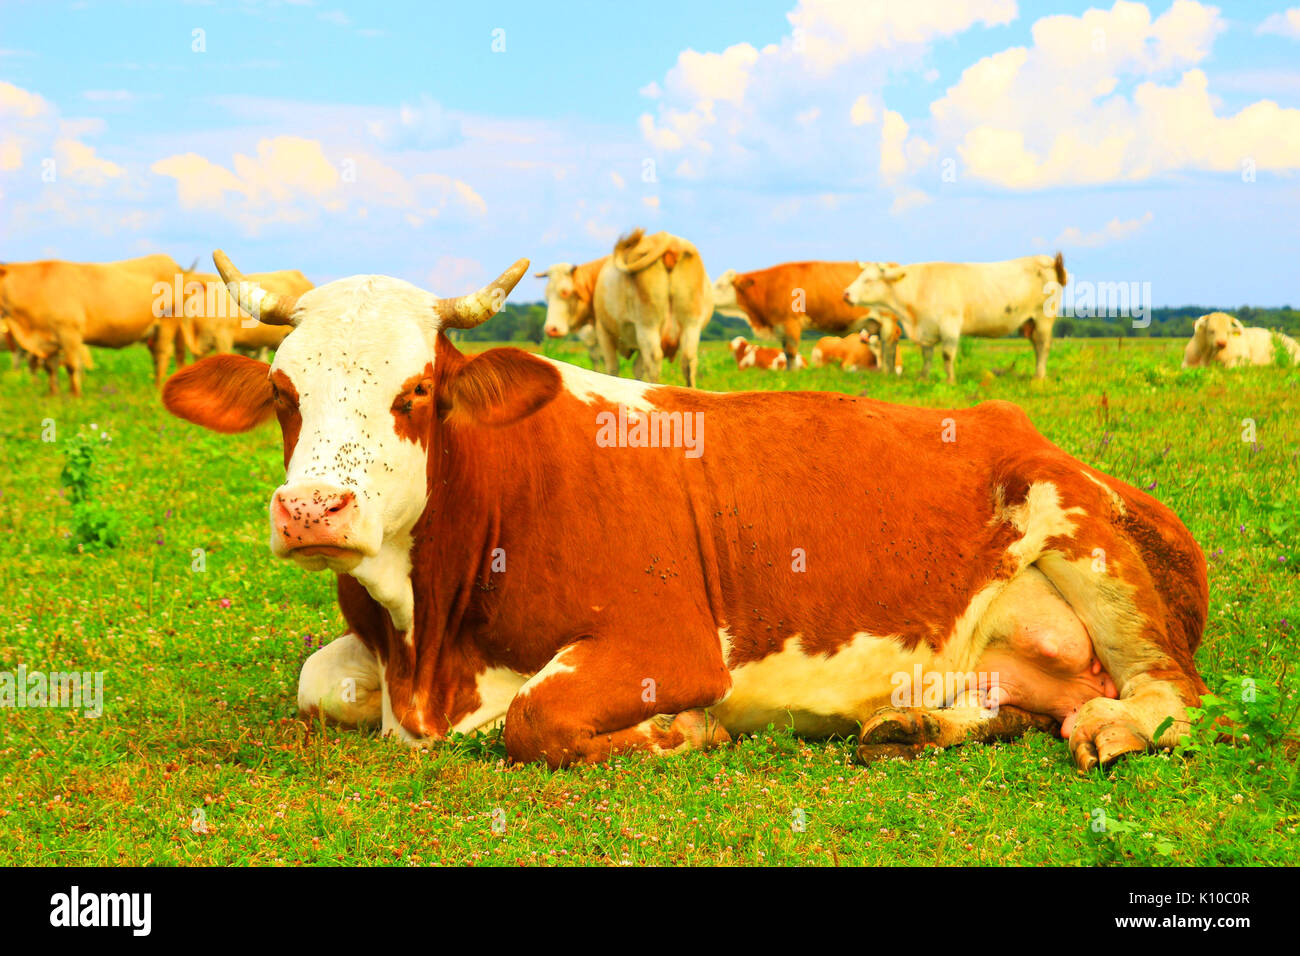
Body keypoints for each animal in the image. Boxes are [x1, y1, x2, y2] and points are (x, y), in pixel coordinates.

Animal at [0, 254, 189, 396]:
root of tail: (168, 260)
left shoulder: (68, 331)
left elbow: (71, 366)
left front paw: (75, 396)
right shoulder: (49, 337)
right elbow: (51, 368)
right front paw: (54, 396)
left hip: (168, 322)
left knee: (163, 354)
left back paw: (158, 388)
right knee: (157, 355)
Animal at [592, 229, 711, 387]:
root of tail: (669, 240)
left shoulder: (603, 330)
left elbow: (613, 367)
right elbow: (637, 368)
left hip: (647, 323)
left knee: (654, 359)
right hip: (691, 322)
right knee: (688, 359)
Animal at [713, 261, 898, 372]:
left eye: (720, 285)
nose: (708, 295)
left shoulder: (791, 323)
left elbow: (791, 352)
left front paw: (793, 374)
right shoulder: (781, 326)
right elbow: (786, 352)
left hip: (888, 320)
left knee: (889, 344)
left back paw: (887, 373)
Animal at [844, 254, 1067, 383]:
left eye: (869, 280)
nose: (845, 294)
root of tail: (1046, 259)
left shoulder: (949, 325)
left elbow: (947, 355)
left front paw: (950, 380)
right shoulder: (927, 328)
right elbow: (927, 355)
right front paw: (923, 378)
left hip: (1044, 318)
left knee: (1043, 345)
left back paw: (1039, 377)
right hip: (1030, 321)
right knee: (1037, 346)